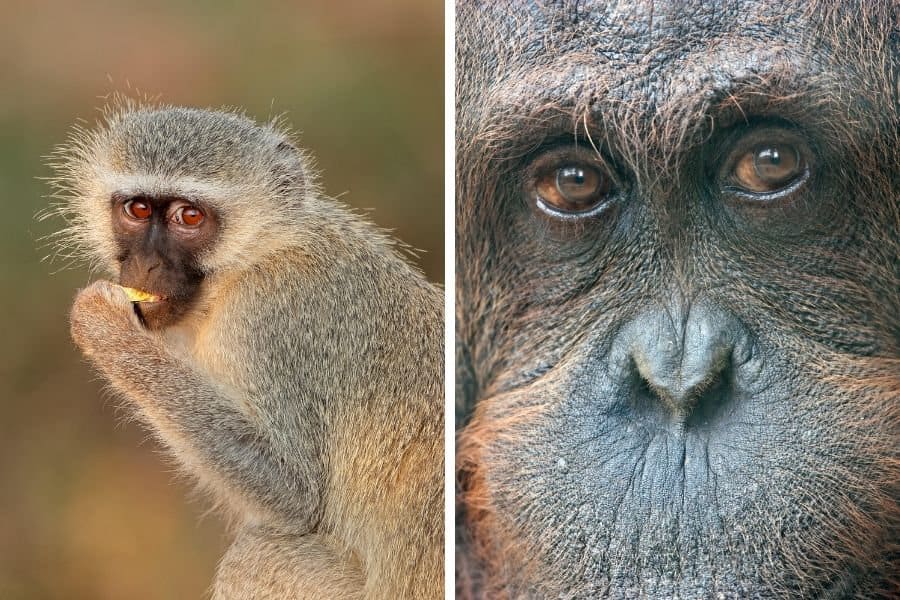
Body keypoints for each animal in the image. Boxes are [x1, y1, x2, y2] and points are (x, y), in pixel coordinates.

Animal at [48, 101, 444, 599]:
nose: (147, 265)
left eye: (189, 217)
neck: (253, 259)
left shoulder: (268, 320)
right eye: (137, 209)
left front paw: (105, 326)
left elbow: (293, 493)